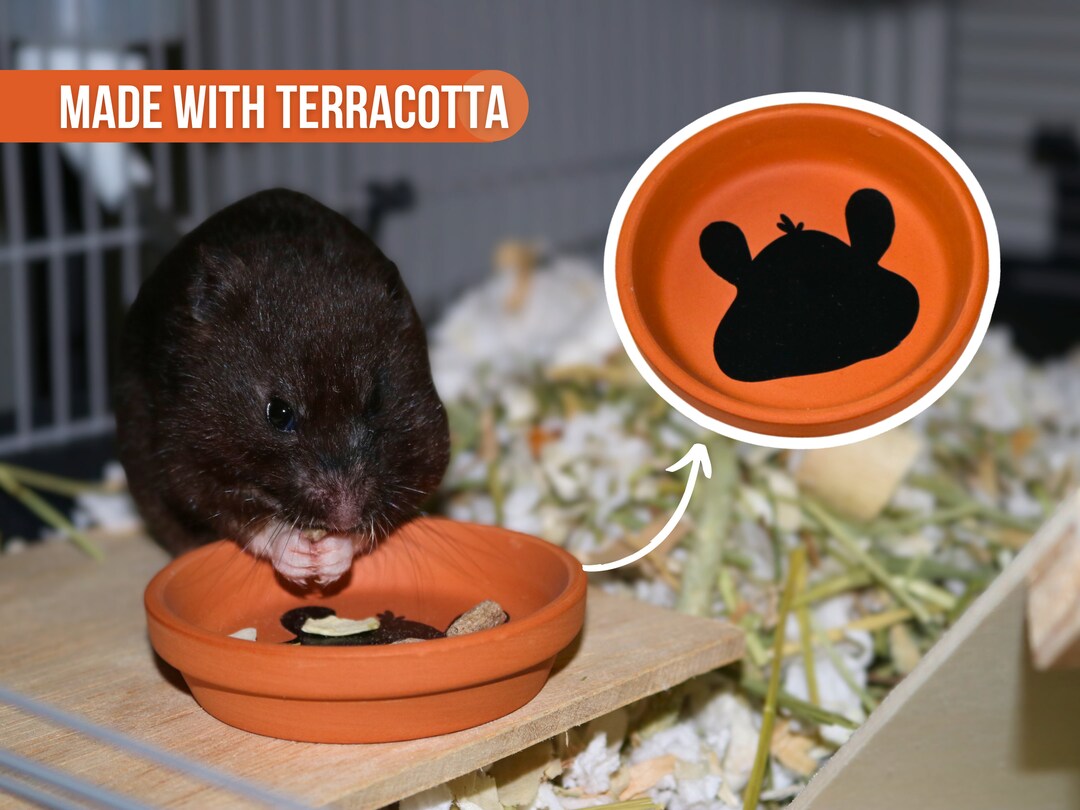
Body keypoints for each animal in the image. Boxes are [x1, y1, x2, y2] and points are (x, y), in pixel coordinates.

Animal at [115, 189, 450, 586]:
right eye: (278, 413)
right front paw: (299, 555)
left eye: (377, 401)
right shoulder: (183, 455)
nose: (345, 515)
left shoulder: (427, 444)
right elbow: (238, 514)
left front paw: (333, 554)